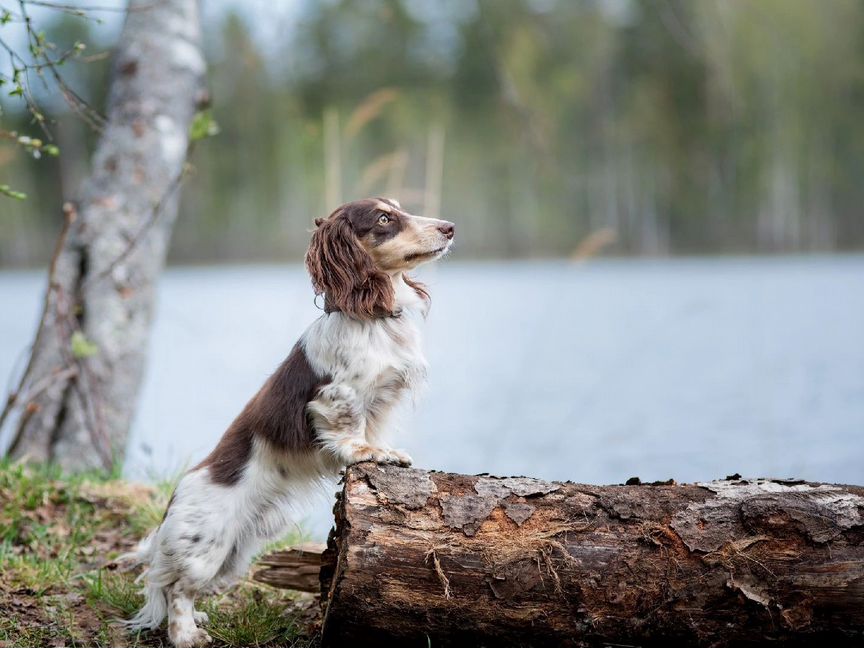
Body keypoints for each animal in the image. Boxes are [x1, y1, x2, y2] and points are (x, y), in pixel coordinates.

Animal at [125, 199, 460, 648]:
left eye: (399, 209)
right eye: (383, 219)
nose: (450, 227)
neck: (373, 319)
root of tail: (177, 495)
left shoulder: (382, 400)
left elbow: (372, 428)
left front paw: (385, 451)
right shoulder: (336, 396)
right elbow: (350, 431)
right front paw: (369, 454)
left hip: (236, 553)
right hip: (206, 546)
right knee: (178, 589)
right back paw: (187, 635)